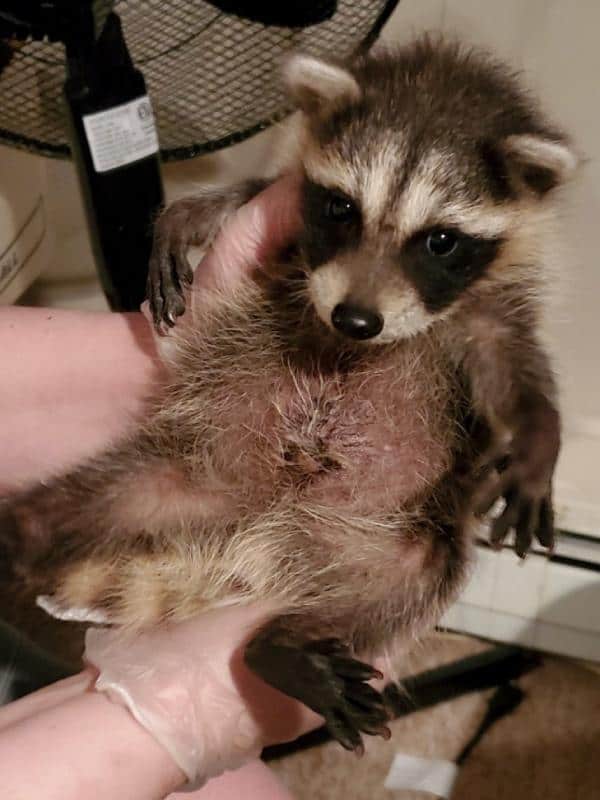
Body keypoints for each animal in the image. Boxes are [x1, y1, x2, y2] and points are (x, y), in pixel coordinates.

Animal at [1, 38, 574, 751]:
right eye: (342, 209)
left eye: (440, 240)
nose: (356, 320)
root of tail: (262, 524)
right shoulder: (288, 215)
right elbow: (254, 194)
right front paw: (192, 212)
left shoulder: (486, 303)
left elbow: (508, 362)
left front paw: (538, 437)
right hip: (197, 473)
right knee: (112, 493)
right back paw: (28, 527)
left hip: (369, 537)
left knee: (412, 578)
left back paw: (281, 646)